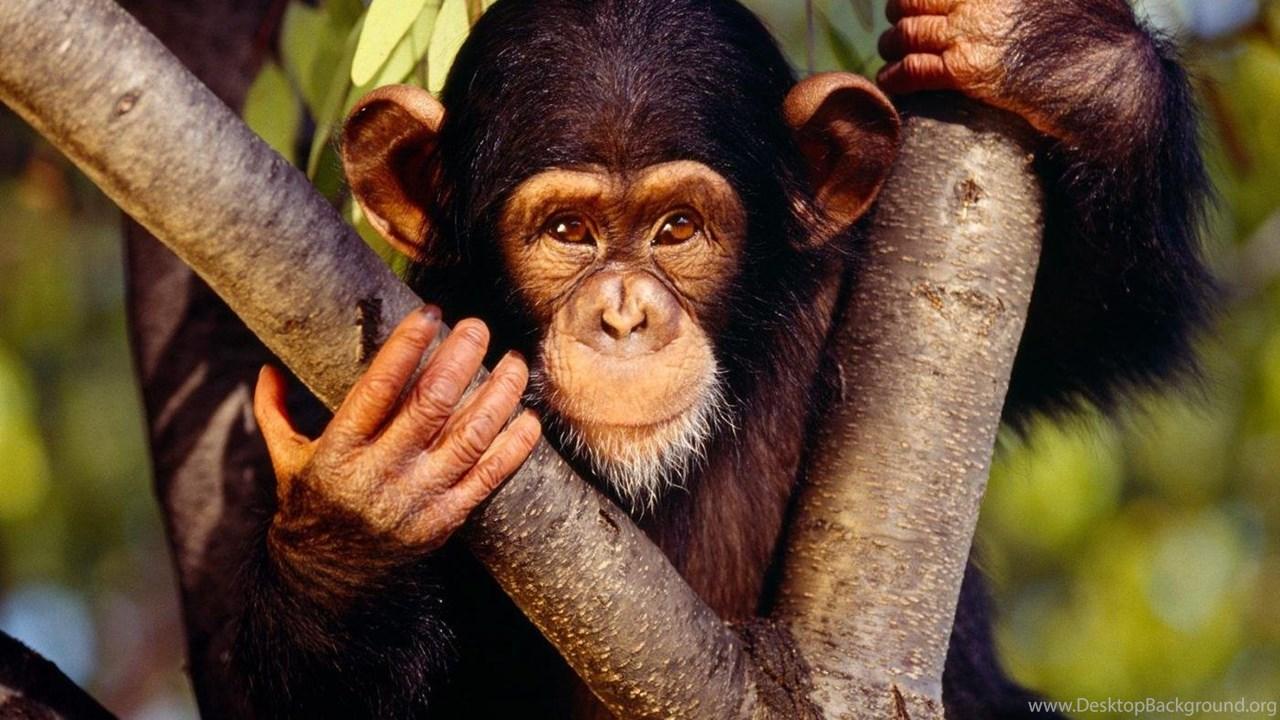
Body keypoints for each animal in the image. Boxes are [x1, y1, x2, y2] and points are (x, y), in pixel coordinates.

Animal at [177, 0, 1214, 717]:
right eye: (569, 232)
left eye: (678, 228)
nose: (624, 315)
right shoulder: (364, 342)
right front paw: (367, 503)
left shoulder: (863, 283)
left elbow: (1101, 313)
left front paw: (1062, 56)